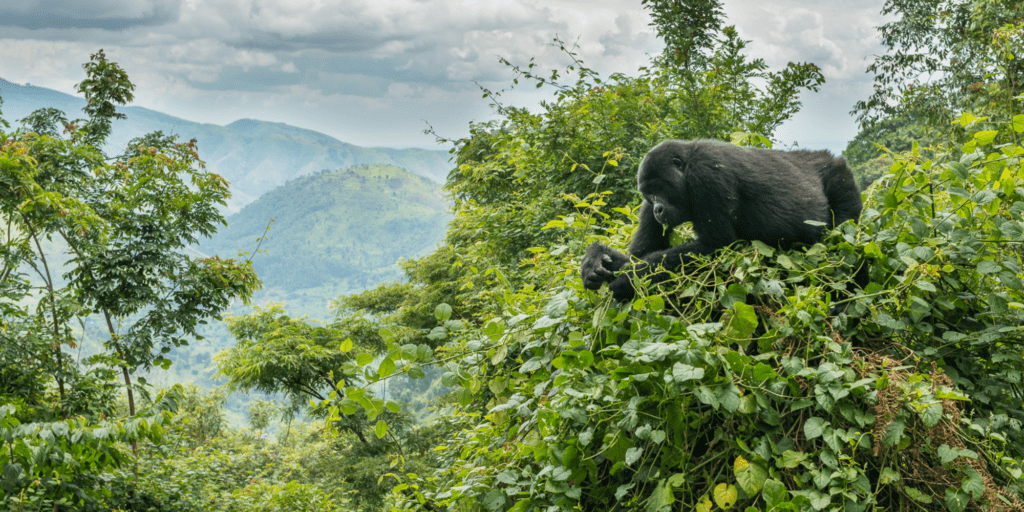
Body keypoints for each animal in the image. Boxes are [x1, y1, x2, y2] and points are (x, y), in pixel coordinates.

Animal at [581, 138, 860, 301]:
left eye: (659, 188)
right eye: (649, 194)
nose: (658, 209)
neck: (687, 164)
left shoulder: (706, 174)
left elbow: (716, 245)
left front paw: (629, 278)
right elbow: (641, 252)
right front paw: (596, 259)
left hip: (841, 181)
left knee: (844, 246)